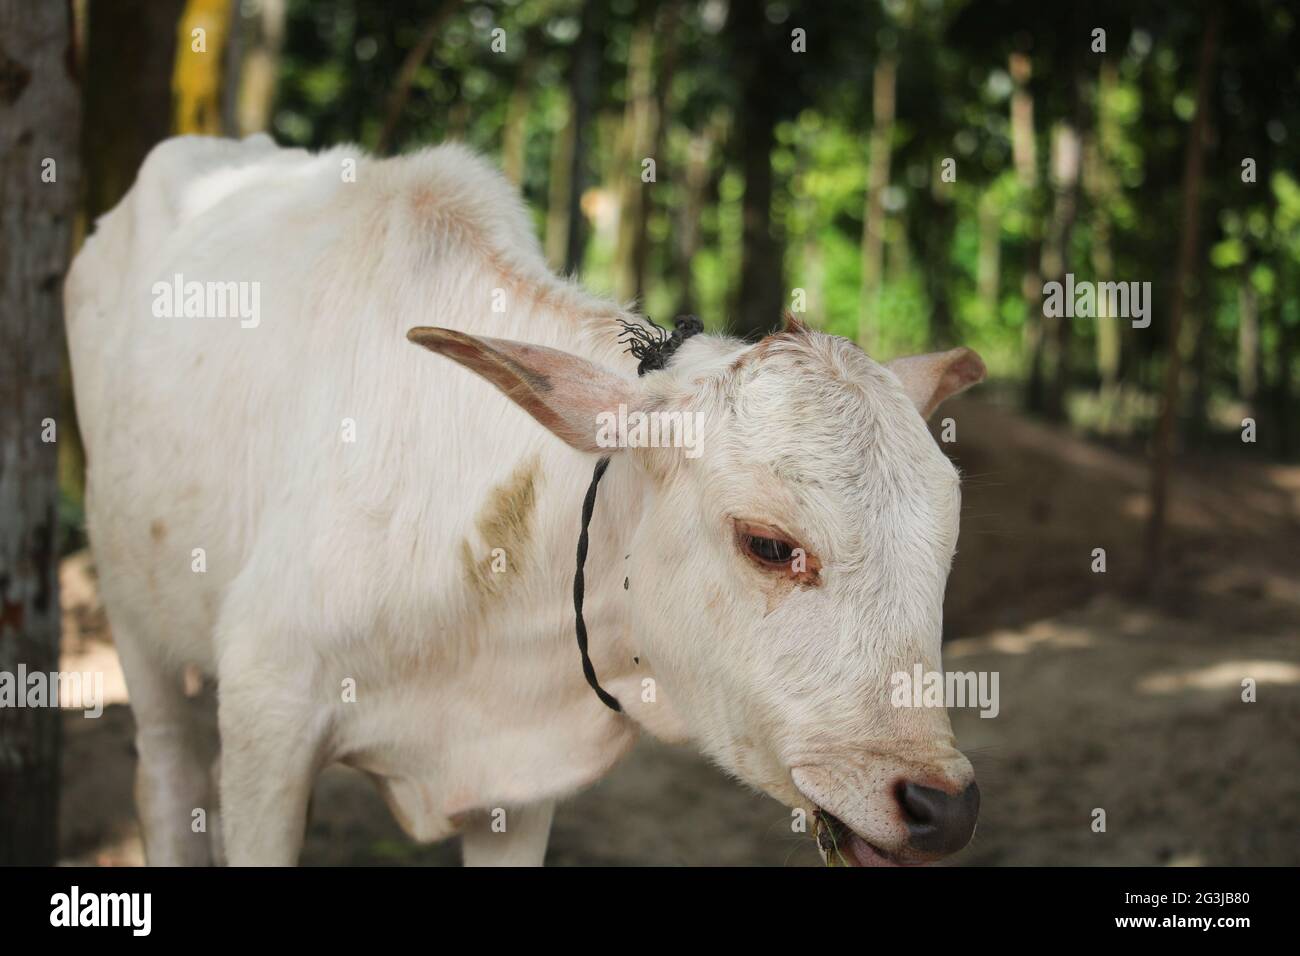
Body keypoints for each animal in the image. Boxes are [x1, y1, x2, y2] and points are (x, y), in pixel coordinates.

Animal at [64, 133, 985, 866]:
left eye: (946, 550)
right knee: (169, 779)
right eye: (767, 544)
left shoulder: (520, 787)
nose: (940, 806)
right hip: (134, 610)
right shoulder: (269, 718)